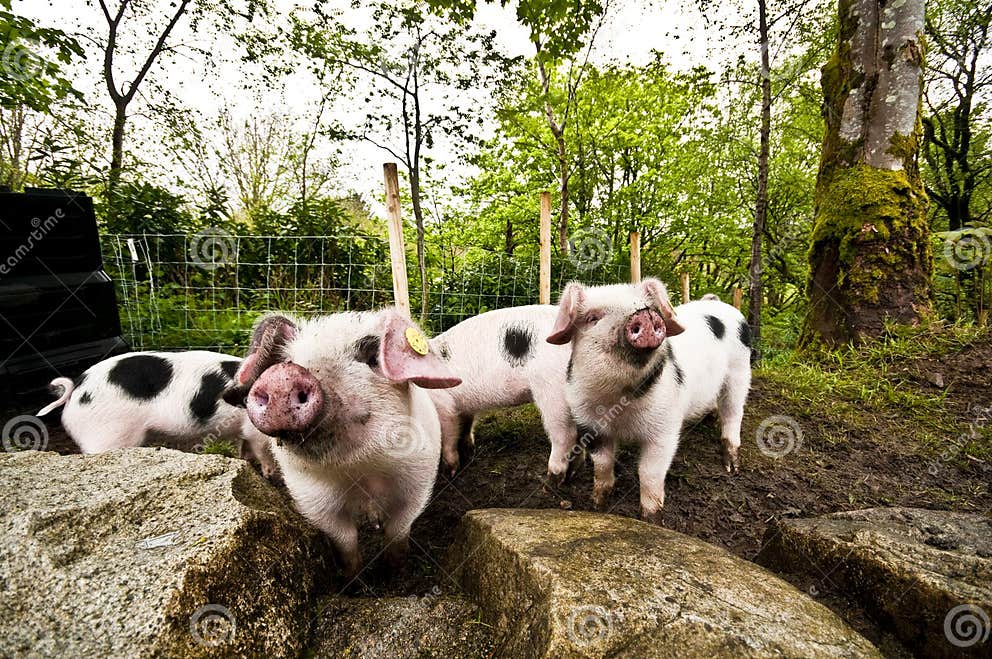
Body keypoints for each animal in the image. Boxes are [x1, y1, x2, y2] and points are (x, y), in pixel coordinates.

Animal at [36, 350, 279, 479]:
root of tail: (76, 388)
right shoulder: (255, 432)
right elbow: (263, 451)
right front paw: (270, 474)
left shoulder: (244, 431)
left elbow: (245, 449)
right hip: (106, 436)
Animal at [222, 309, 461, 579]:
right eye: (288, 360)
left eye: (371, 357)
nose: (281, 376)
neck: (362, 472)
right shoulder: (312, 499)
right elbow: (344, 540)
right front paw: (352, 577)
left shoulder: (417, 481)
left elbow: (398, 530)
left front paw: (395, 570)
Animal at [427, 305, 577, 485]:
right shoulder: (463, 406)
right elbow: (466, 426)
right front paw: (469, 451)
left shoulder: (444, 406)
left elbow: (448, 437)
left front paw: (448, 474)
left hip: (552, 388)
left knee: (566, 434)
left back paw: (551, 481)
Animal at [546, 279, 751, 524]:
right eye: (592, 318)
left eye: (647, 307)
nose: (644, 314)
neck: (618, 401)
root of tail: (719, 304)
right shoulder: (591, 424)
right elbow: (602, 465)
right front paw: (597, 504)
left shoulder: (665, 428)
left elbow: (649, 473)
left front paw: (651, 518)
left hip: (740, 369)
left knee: (733, 412)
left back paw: (731, 467)